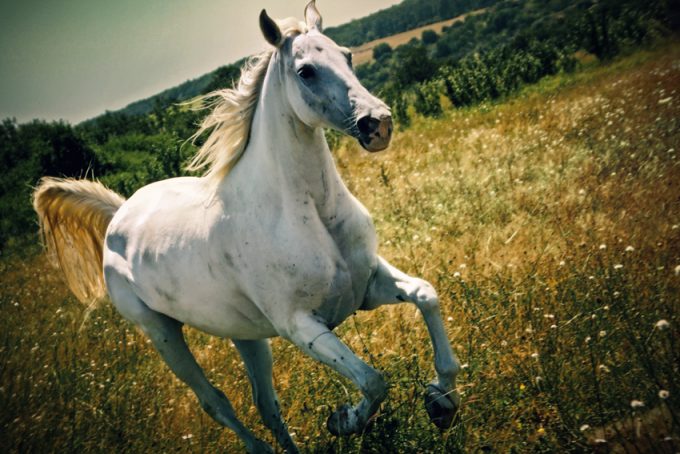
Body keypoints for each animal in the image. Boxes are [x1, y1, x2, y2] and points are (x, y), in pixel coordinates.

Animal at [33, 2, 461, 452]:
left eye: (346, 56)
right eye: (306, 71)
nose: (377, 124)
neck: (308, 215)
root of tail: (119, 215)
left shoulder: (368, 285)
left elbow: (426, 296)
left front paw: (441, 402)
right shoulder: (301, 326)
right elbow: (374, 381)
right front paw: (343, 420)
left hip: (246, 335)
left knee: (266, 405)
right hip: (162, 333)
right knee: (218, 404)